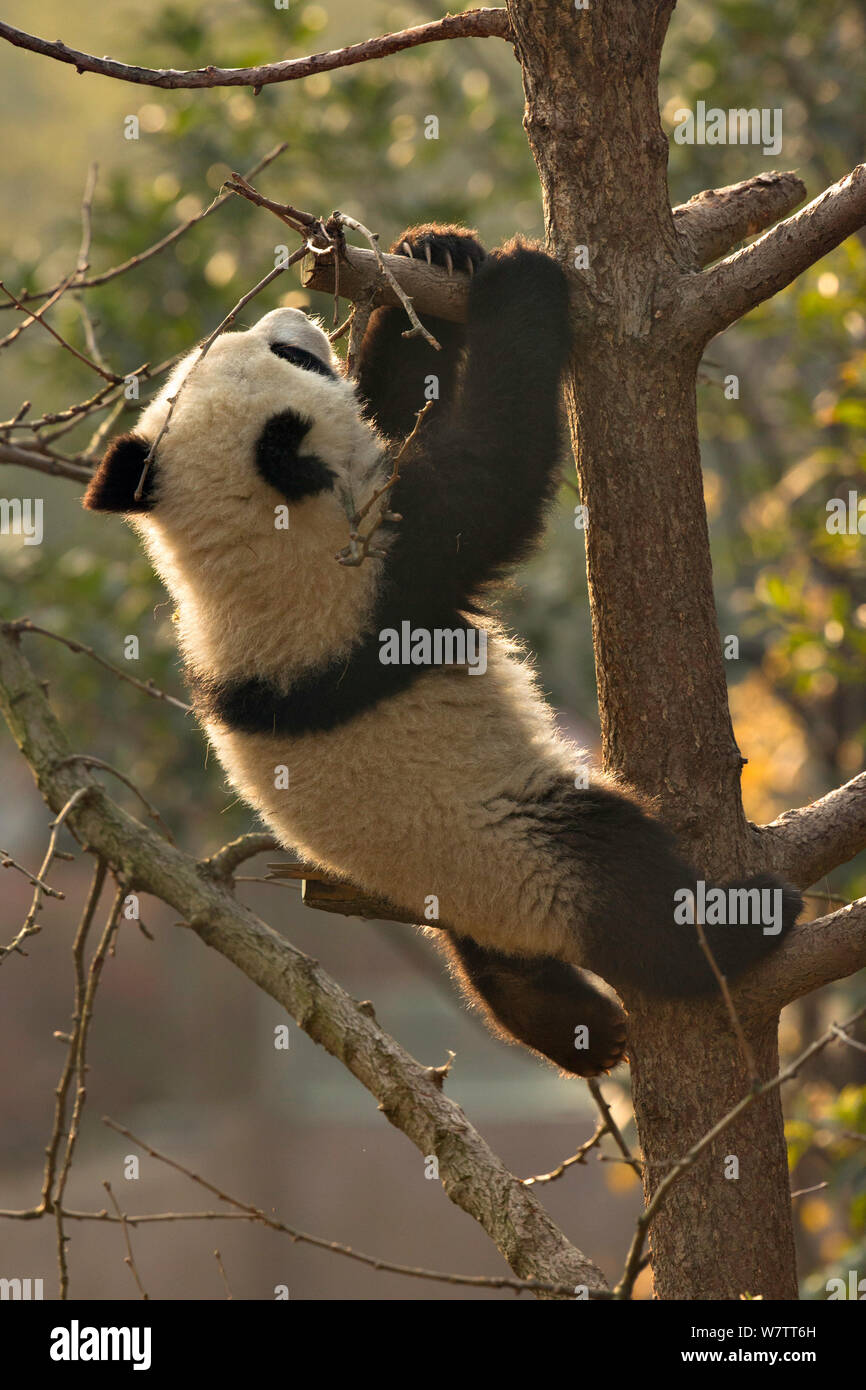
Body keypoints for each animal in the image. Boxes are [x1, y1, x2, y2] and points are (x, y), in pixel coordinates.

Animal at [83, 225, 801, 1077]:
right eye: (293, 360)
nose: (294, 317)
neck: (235, 545)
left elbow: (399, 409)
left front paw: (435, 257)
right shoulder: (378, 572)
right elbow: (493, 472)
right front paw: (520, 282)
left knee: (491, 967)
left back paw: (574, 1028)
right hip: (516, 843)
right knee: (626, 890)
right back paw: (744, 924)